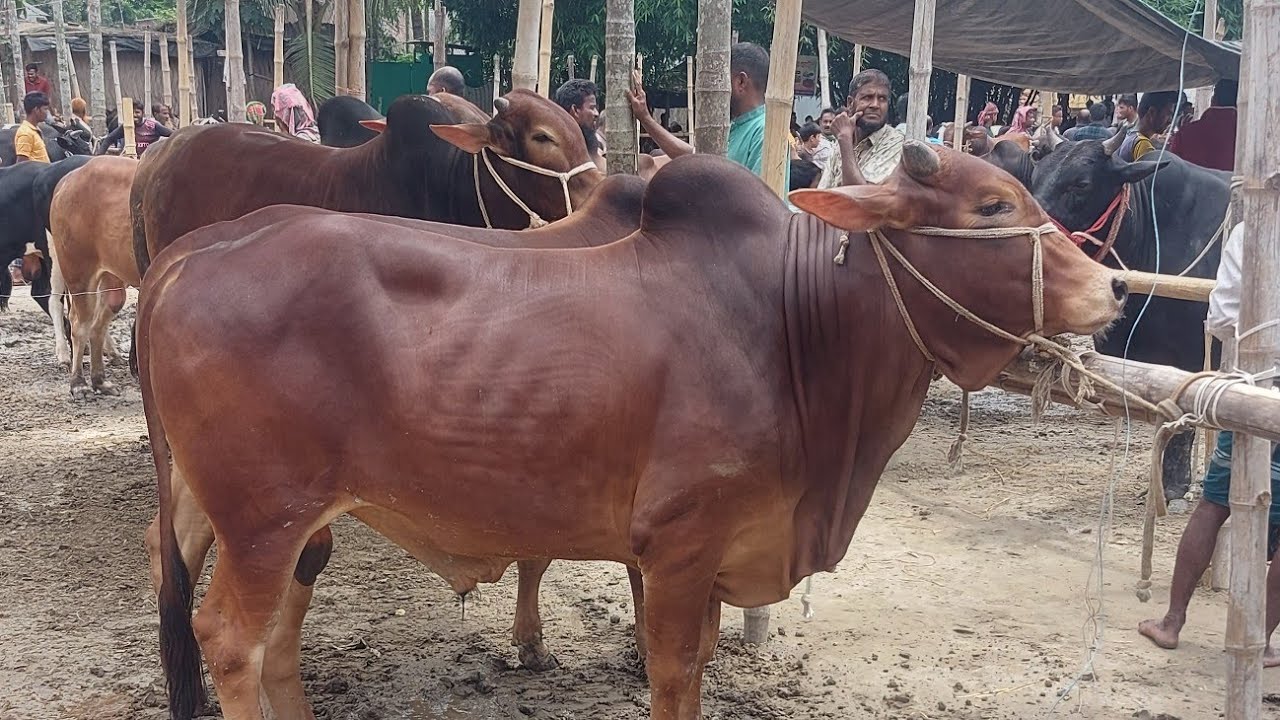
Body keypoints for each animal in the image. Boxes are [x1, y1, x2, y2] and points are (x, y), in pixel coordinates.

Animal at [48, 156, 140, 394]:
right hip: (78, 272)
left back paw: (99, 379)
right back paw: (78, 383)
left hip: (111, 279)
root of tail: (67, 180)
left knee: (98, 324)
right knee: (79, 324)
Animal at [138, 144, 1126, 720]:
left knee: (266, 630)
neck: (793, 323)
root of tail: (192, 255)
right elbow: (675, 672)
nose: (1112, 289)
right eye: (993, 207)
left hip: (270, 517)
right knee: (230, 638)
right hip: (264, 517)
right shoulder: (681, 548)